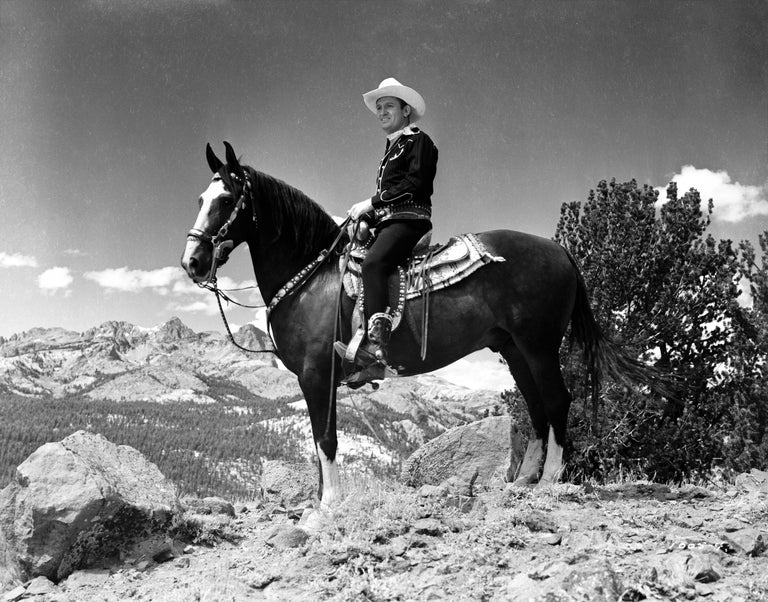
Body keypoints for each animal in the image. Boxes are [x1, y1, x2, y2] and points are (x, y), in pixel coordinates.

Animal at [181, 141, 656, 512]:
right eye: (200, 199)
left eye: (226, 200)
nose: (192, 262)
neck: (313, 277)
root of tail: (559, 250)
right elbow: (319, 442)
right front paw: (320, 502)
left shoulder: (317, 374)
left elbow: (326, 439)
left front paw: (327, 506)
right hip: (514, 348)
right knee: (537, 406)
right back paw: (524, 481)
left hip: (539, 344)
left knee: (557, 400)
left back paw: (552, 479)